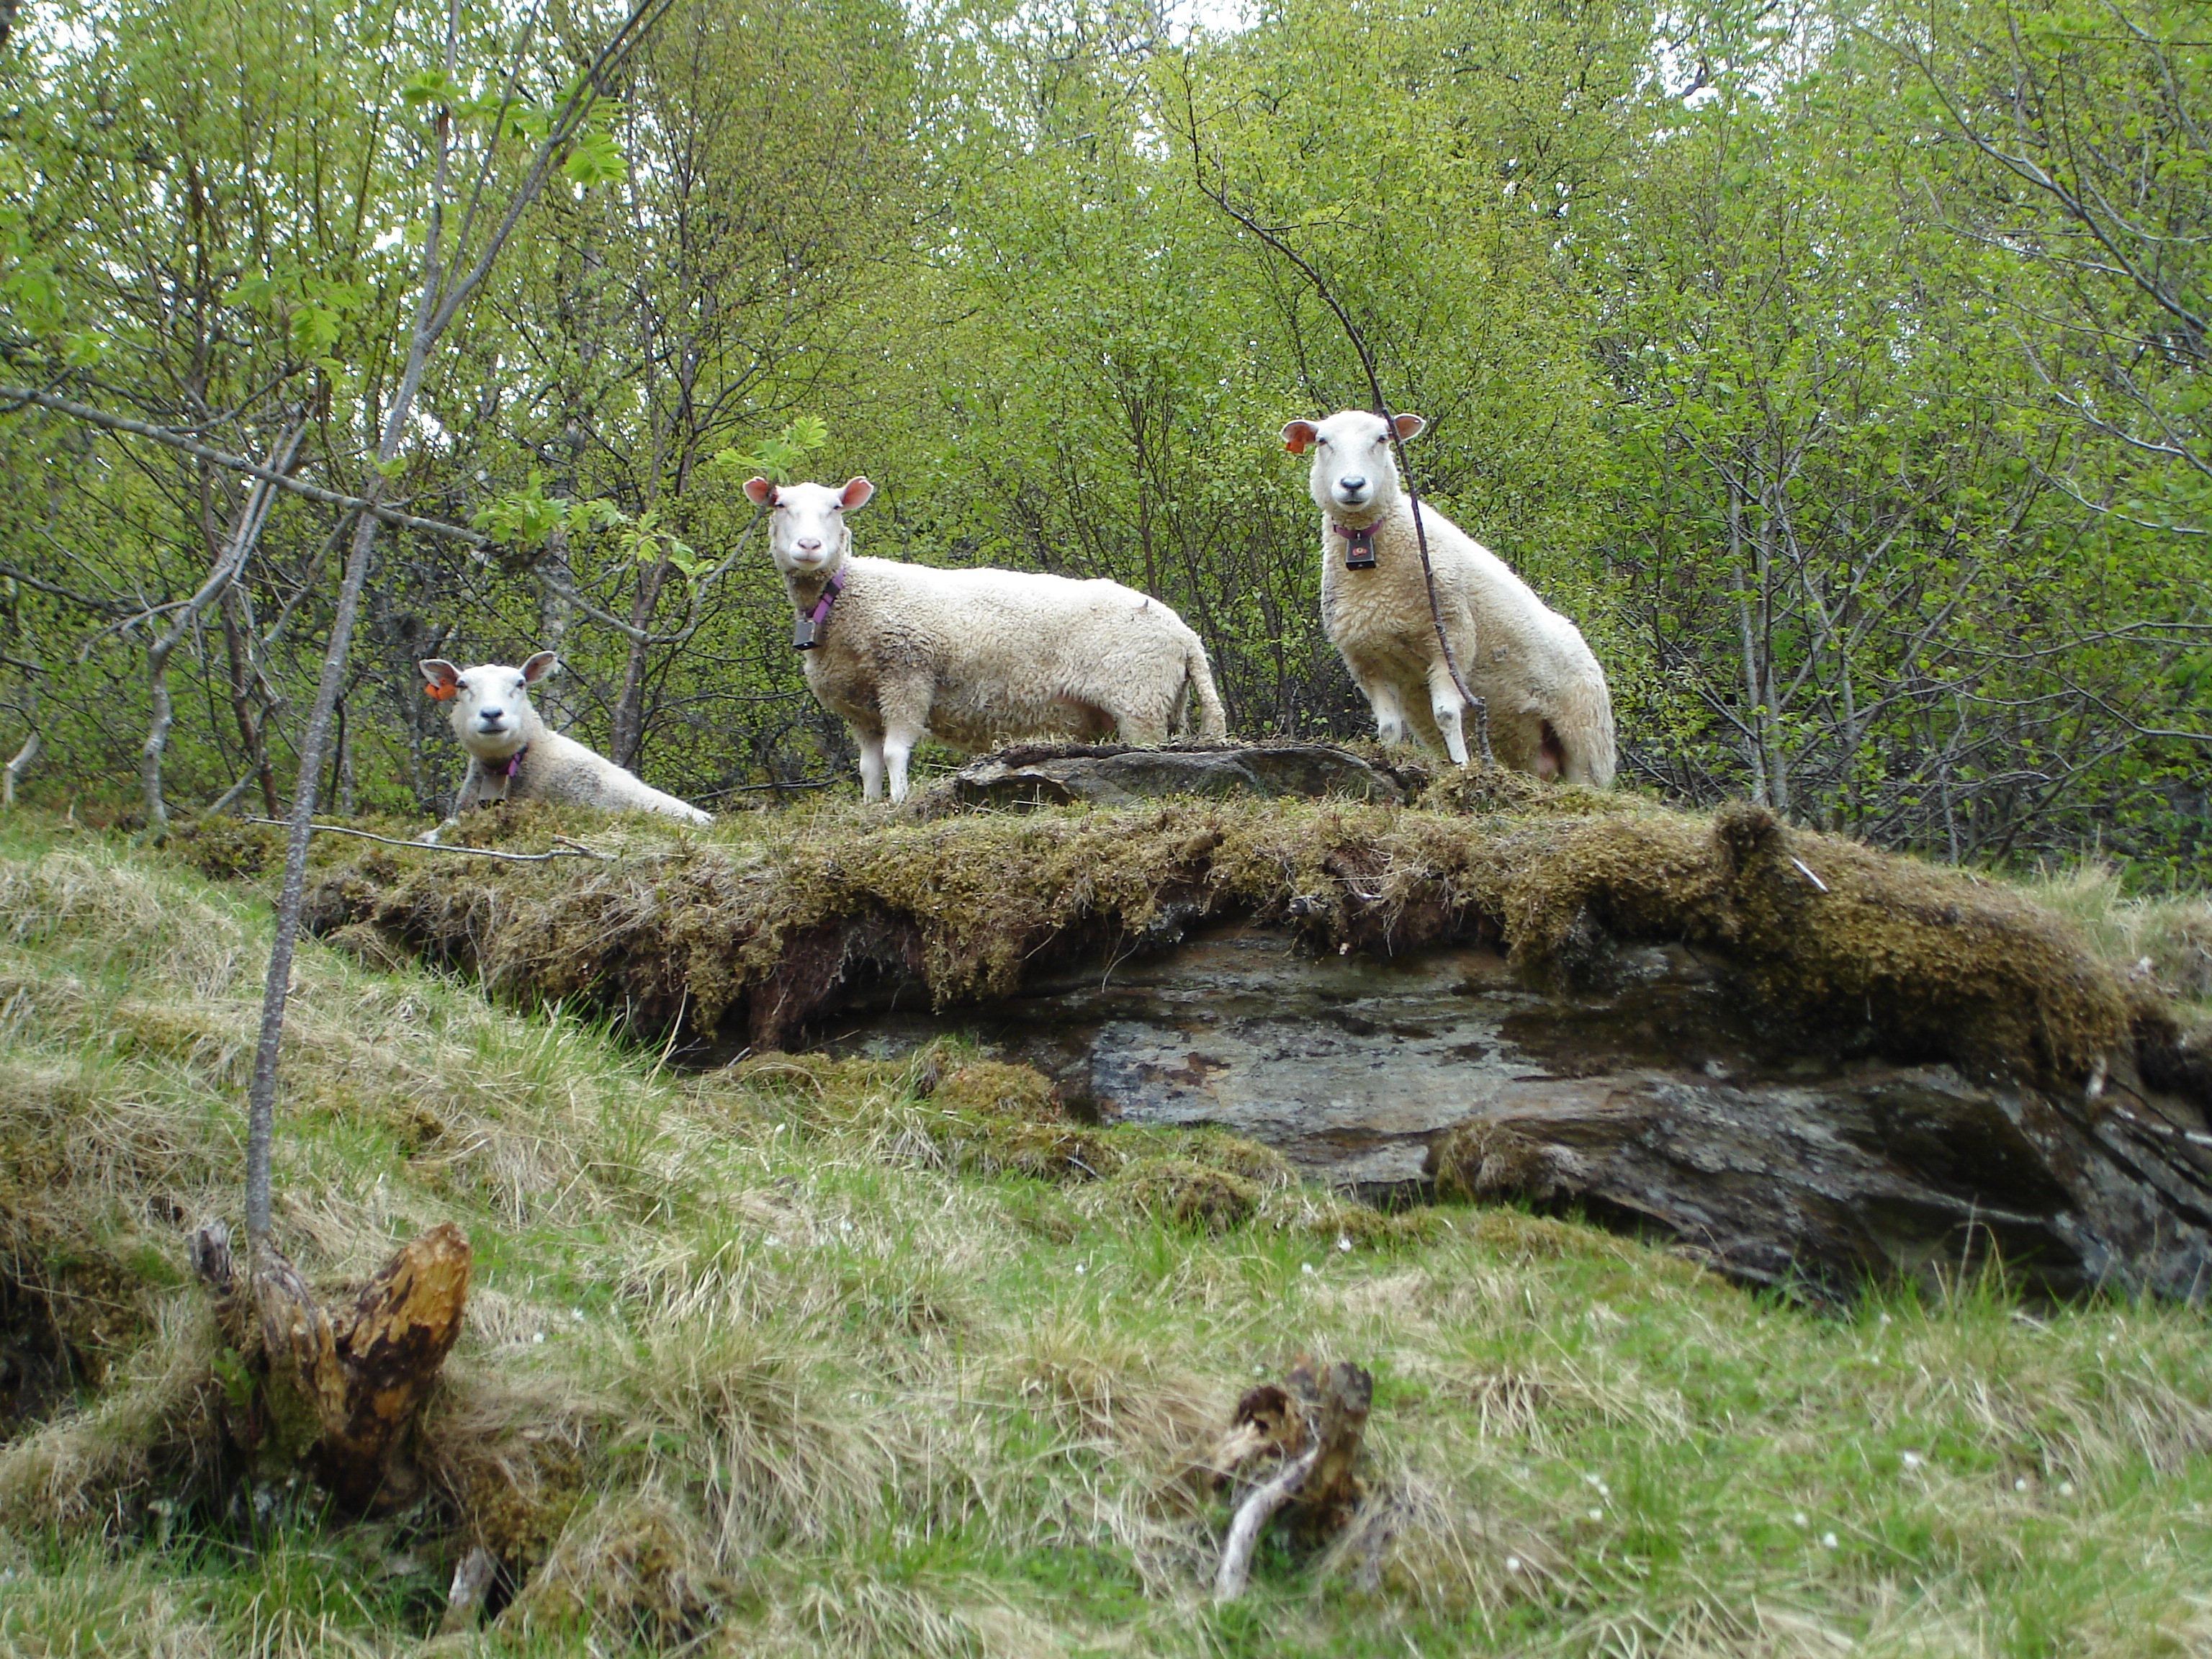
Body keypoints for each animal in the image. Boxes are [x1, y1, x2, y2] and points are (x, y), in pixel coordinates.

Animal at [747, 475, 1228, 804]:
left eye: (835, 507)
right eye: (780, 504)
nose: (809, 547)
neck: (846, 596)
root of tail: (1186, 635)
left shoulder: (907, 676)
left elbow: (895, 754)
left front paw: (899, 803)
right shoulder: (860, 705)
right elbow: (868, 766)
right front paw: (871, 807)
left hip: (1139, 698)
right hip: (1157, 703)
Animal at [1282, 410, 1616, 787]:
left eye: (1382, 438)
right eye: (1323, 441)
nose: (1353, 485)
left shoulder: (1452, 639)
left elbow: (1445, 714)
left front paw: (1461, 767)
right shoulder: (1367, 658)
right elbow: (1388, 727)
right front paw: (1390, 760)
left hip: (1586, 739)